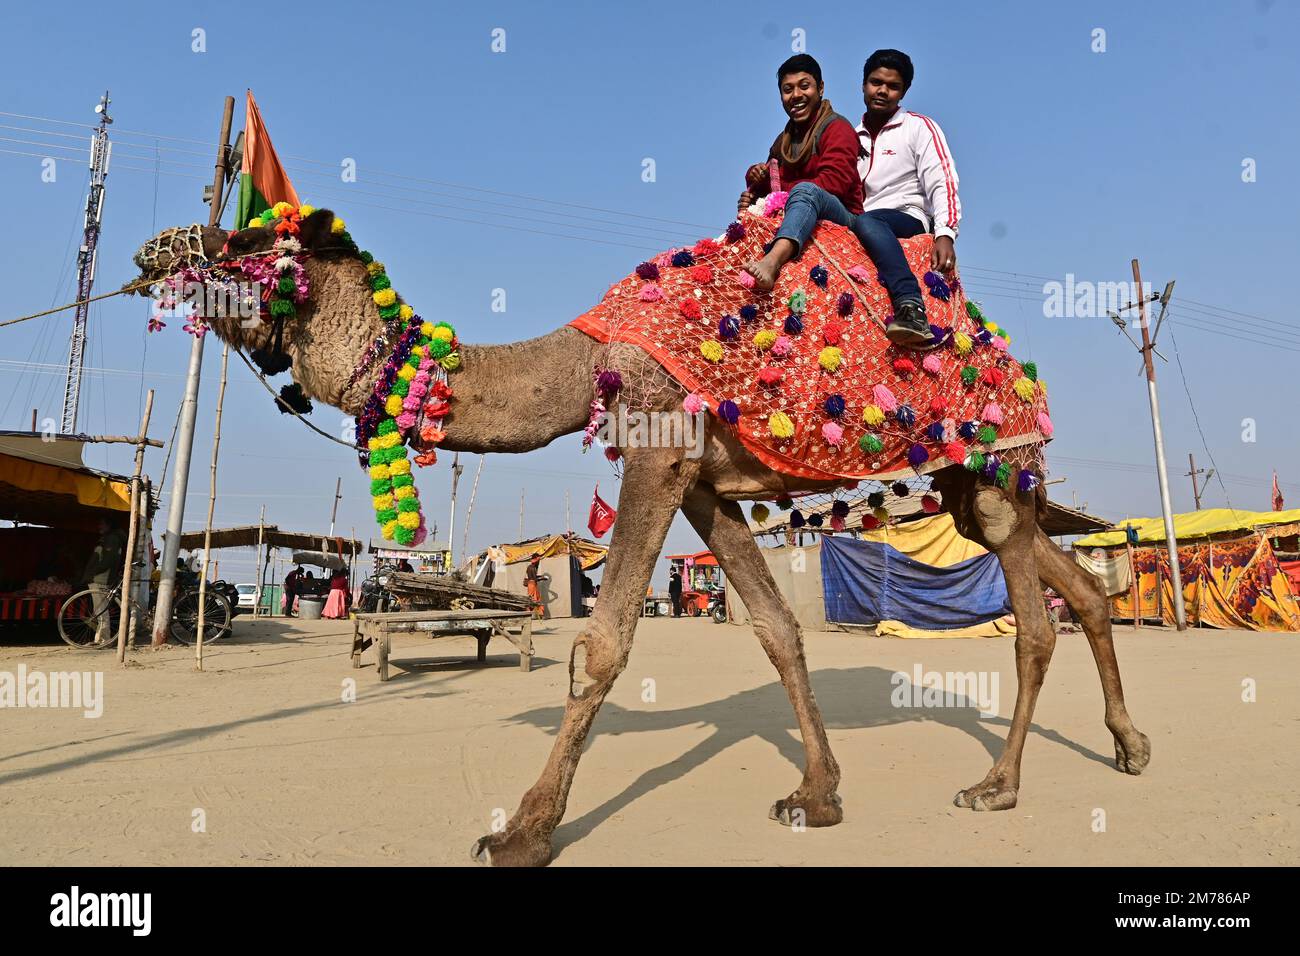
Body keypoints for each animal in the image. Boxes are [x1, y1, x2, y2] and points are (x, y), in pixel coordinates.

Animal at [129, 207, 1150, 867]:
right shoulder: (703, 484)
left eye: (248, 241)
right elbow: (777, 630)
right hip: (966, 475)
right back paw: (1129, 746)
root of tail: (1013, 358)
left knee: (1034, 616)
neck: (589, 359)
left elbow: (603, 643)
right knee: (1078, 586)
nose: (156, 248)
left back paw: (997, 785)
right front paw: (818, 795)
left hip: (995, 457)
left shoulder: (657, 449)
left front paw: (522, 832)